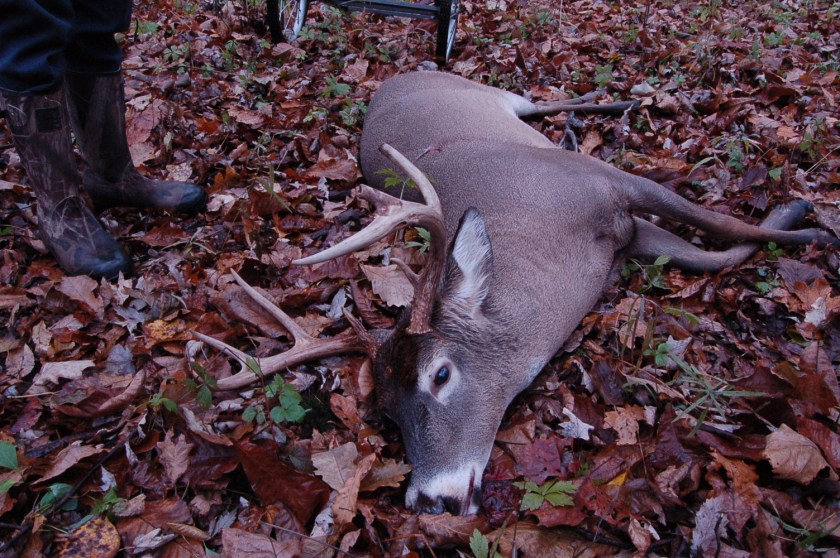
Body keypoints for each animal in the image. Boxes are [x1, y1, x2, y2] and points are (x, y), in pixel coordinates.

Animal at [194, 71, 838, 516]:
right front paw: (798, 217)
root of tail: (395, 77)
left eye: (440, 373)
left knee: (539, 99)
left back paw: (618, 103)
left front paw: (809, 223)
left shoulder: (610, 184)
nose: (431, 500)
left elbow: (727, 227)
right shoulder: (626, 238)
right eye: (384, 410)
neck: (547, 248)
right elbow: (722, 254)